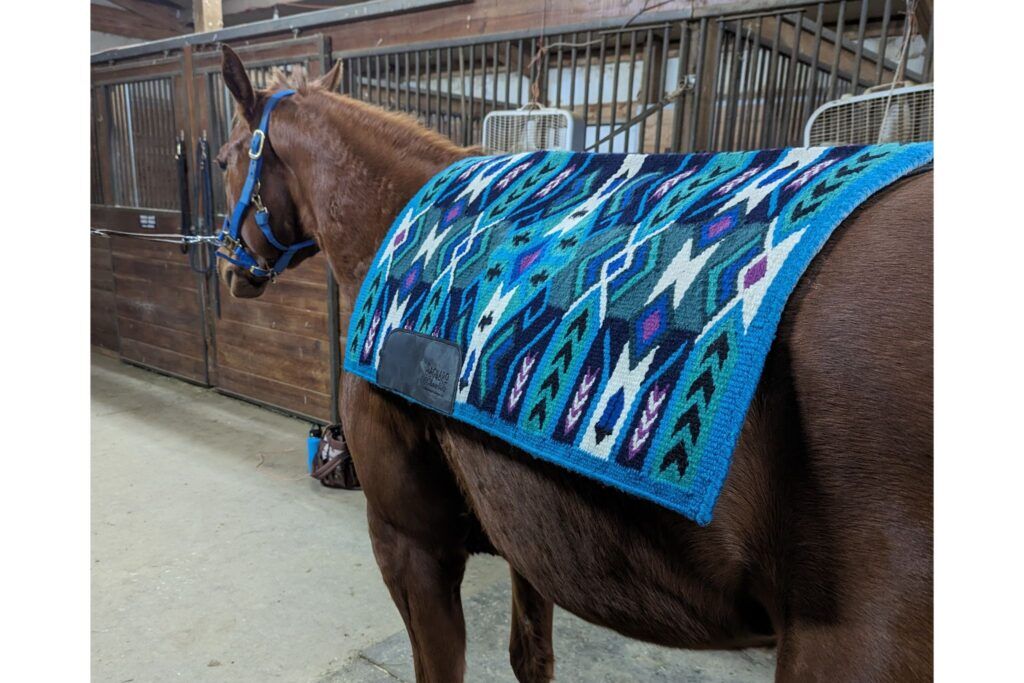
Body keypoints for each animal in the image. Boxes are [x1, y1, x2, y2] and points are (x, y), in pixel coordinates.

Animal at [214, 46, 933, 682]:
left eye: (222, 158)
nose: (227, 267)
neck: (393, 220)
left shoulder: (410, 543)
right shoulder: (526, 540)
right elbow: (531, 658)